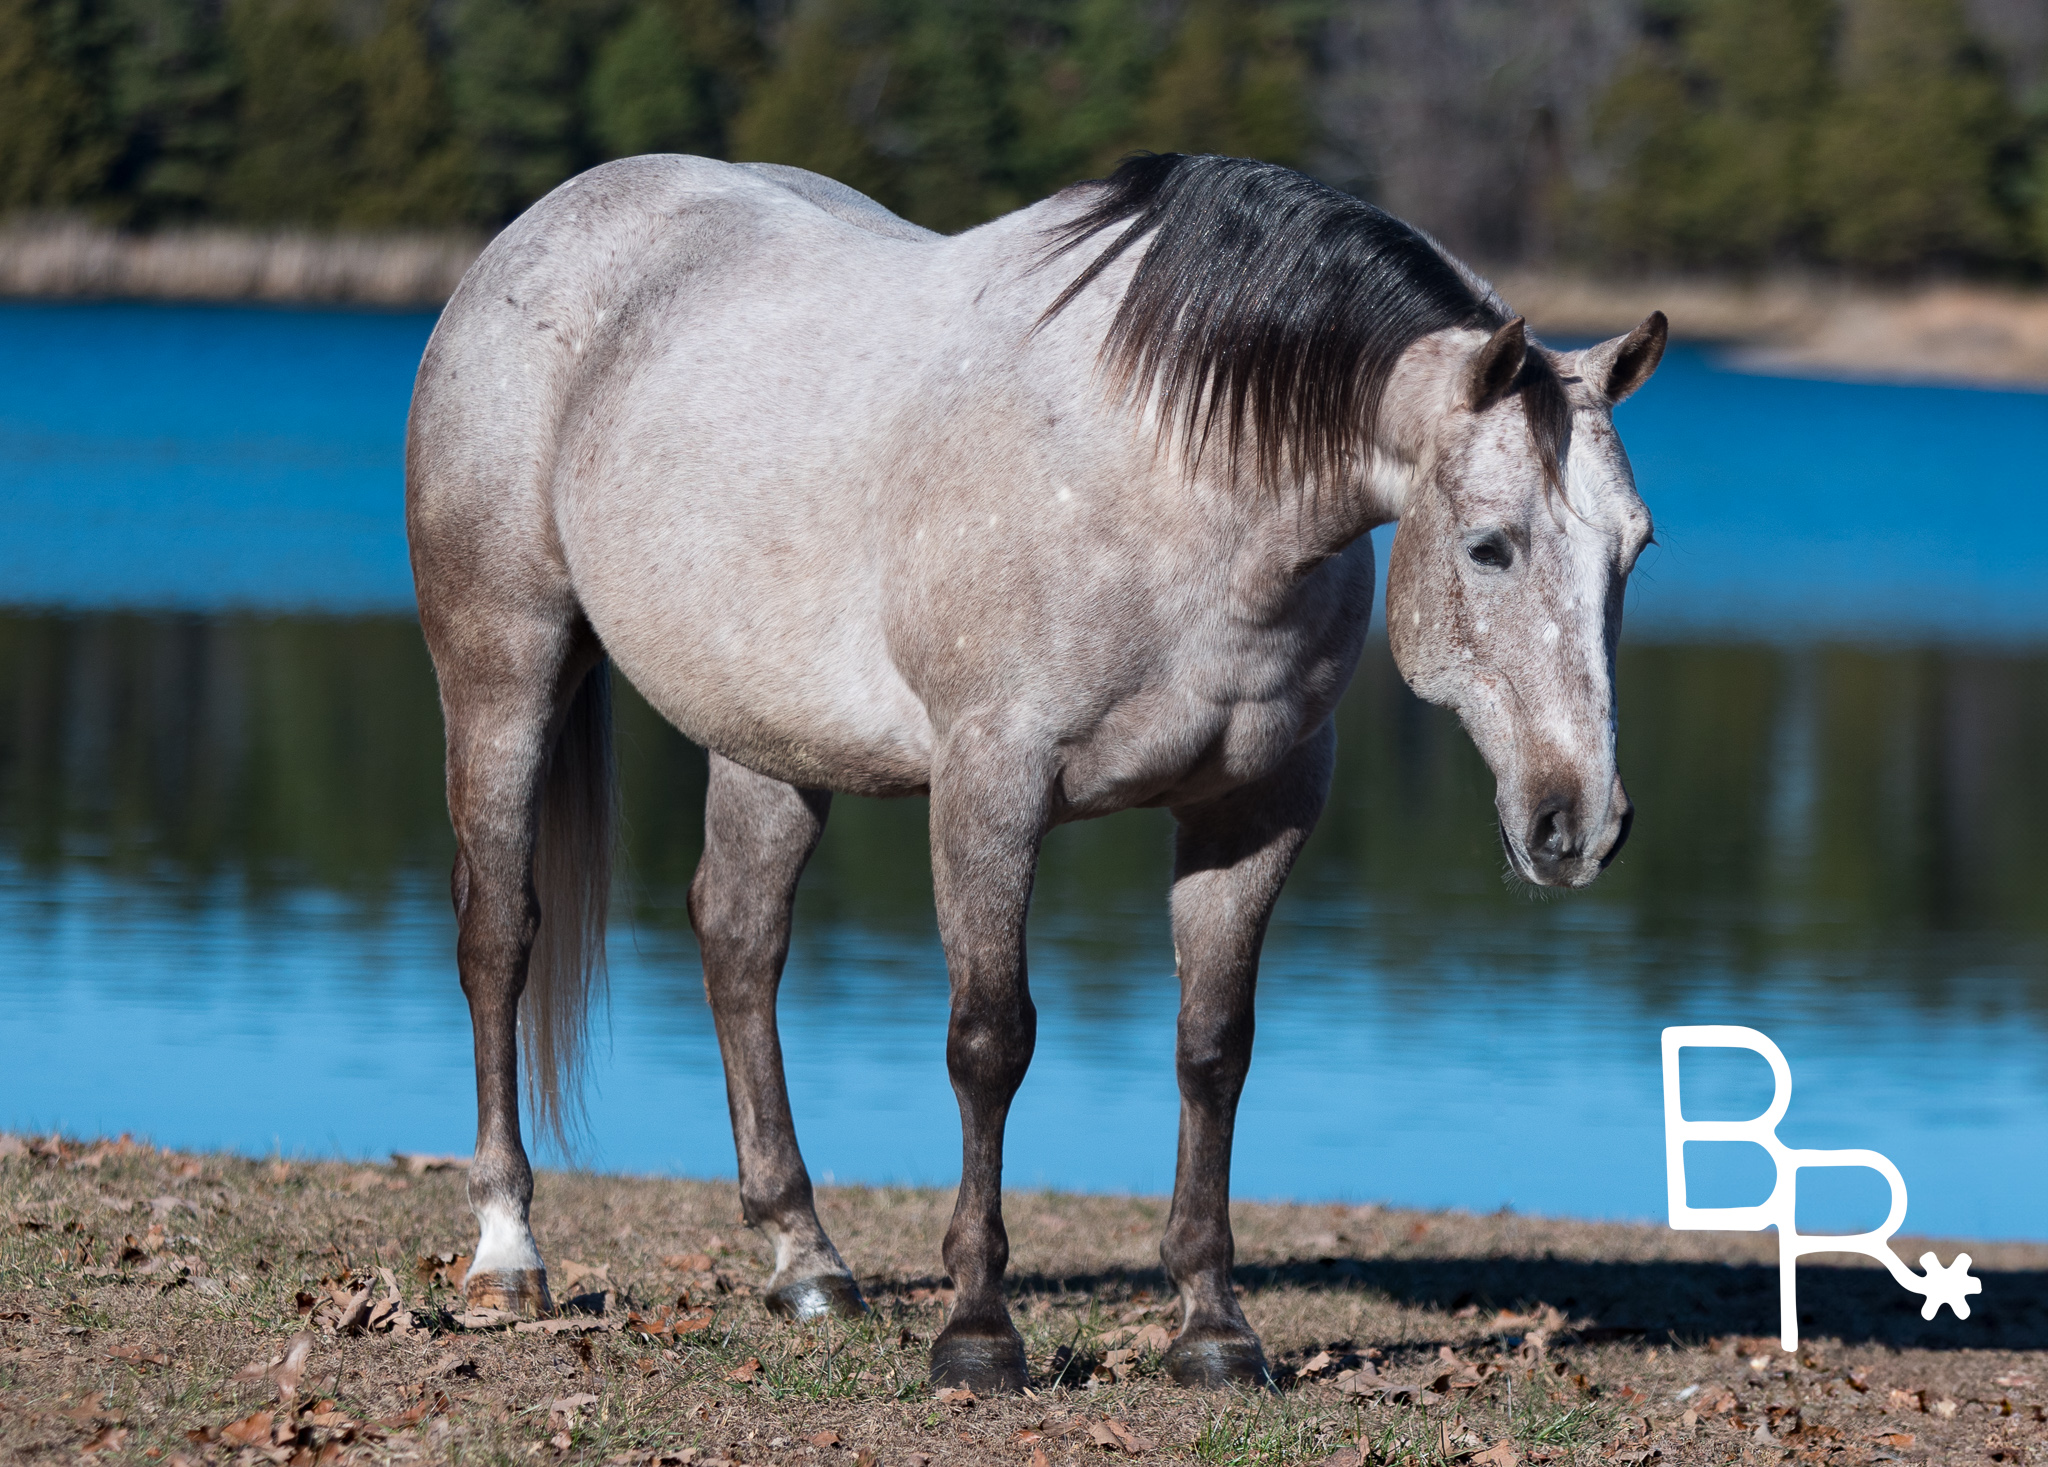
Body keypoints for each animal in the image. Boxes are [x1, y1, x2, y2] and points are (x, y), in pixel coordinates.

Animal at [405, 150, 1665, 1393]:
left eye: (1634, 547)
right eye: (1488, 548)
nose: (1578, 825)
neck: (1171, 478)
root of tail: (545, 225)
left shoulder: (1255, 809)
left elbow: (1212, 1049)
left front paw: (1213, 1332)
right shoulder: (990, 785)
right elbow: (988, 1042)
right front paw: (976, 1334)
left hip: (766, 735)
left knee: (739, 939)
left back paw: (805, 1262)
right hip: (503, 660)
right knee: (499, 932)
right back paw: (508, 1253)